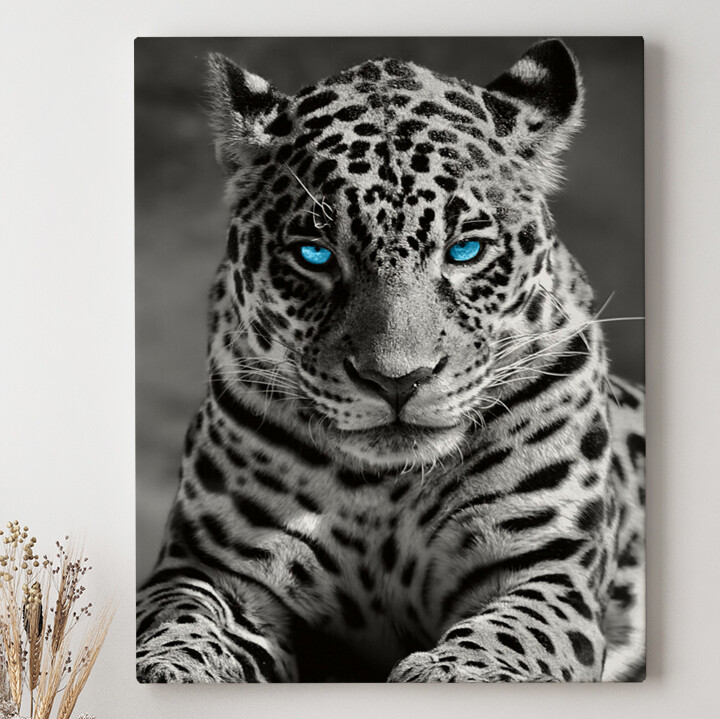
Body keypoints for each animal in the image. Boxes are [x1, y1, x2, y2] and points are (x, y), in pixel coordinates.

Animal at [136, 38, 645, 683]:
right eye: (315, 254)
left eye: (465, 250)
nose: (397, 381)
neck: (386, 488)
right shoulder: (212, 567)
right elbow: (179, 620)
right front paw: (164, 668)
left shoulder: (548, 569)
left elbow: (508, 636)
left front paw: (448, 672)